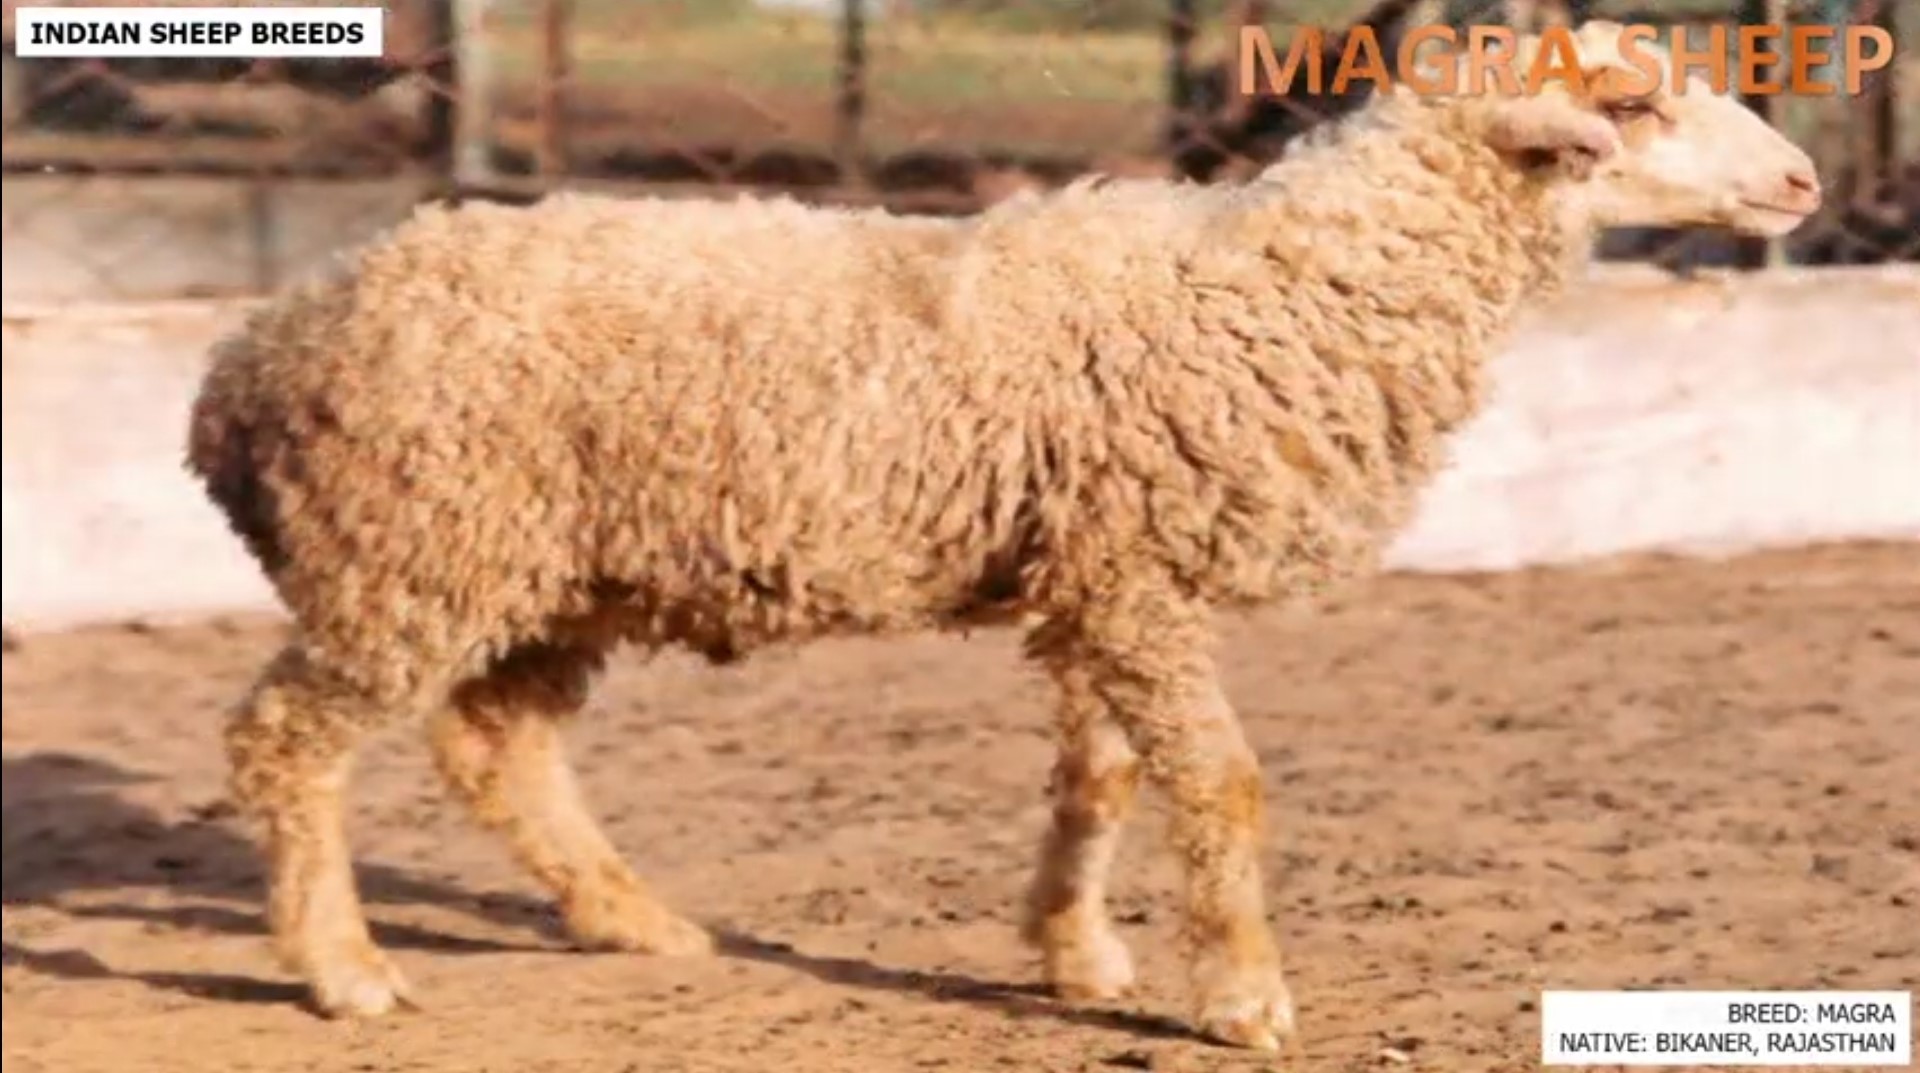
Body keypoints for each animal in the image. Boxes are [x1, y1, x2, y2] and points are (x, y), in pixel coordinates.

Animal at [185, 22, 1820, 1050]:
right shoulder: (1140, 577)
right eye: (1633, 110)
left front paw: (1079, 952)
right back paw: (344, 969)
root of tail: (252, 356)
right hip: (411, 553)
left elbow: (1103, 779)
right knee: (289, 743)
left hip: (547, 571)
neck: (1287, 285)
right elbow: (1220, 787)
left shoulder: (1102, 569)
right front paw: (1245, 997)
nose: (1801, 182)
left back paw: (634, 919)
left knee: (497, 743)